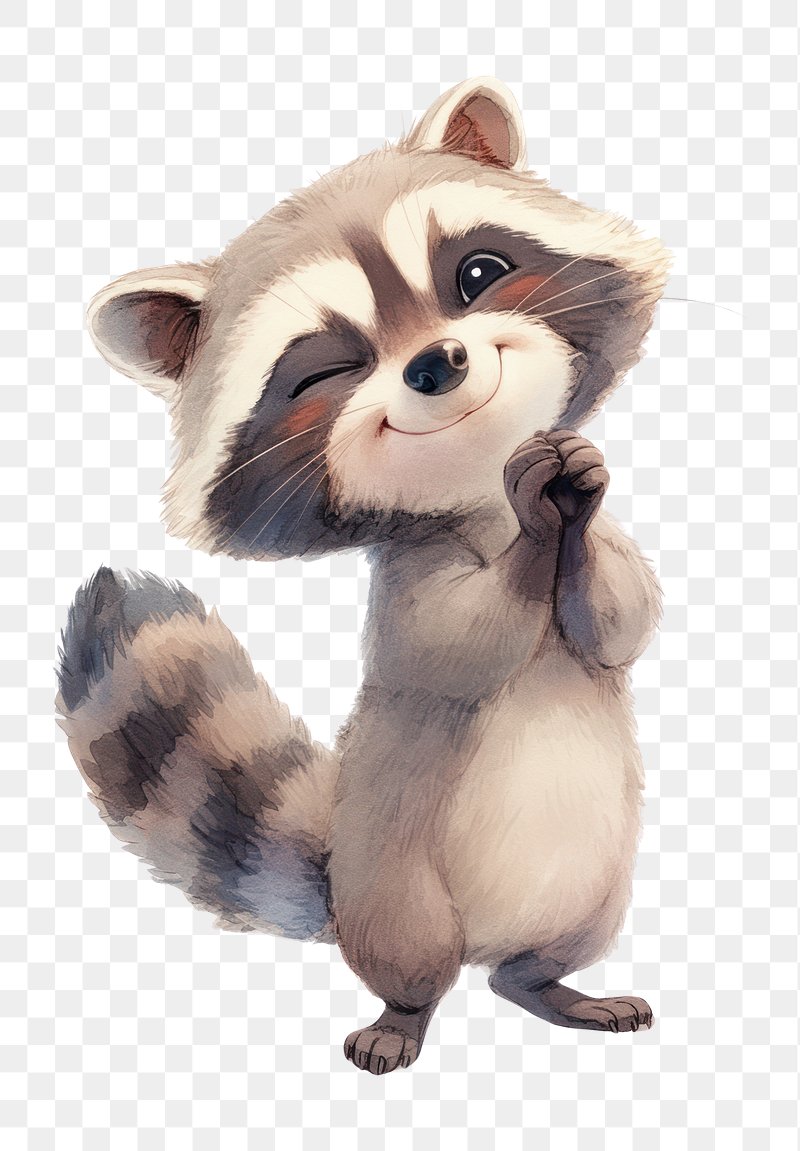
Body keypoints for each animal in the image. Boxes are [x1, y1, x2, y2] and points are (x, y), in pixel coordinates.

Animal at [57, 78, 669, 1074]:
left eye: (476, 274)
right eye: (330, 368)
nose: (438, 363)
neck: (479, 486)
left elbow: (622, 619)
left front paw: (578, 503)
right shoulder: (409, 572)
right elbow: (453, 644)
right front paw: (537, 538)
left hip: (595, 883)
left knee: (531, 962)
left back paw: (549, 984)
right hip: (395, 878)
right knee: (415, 956)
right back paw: (403, 1013)